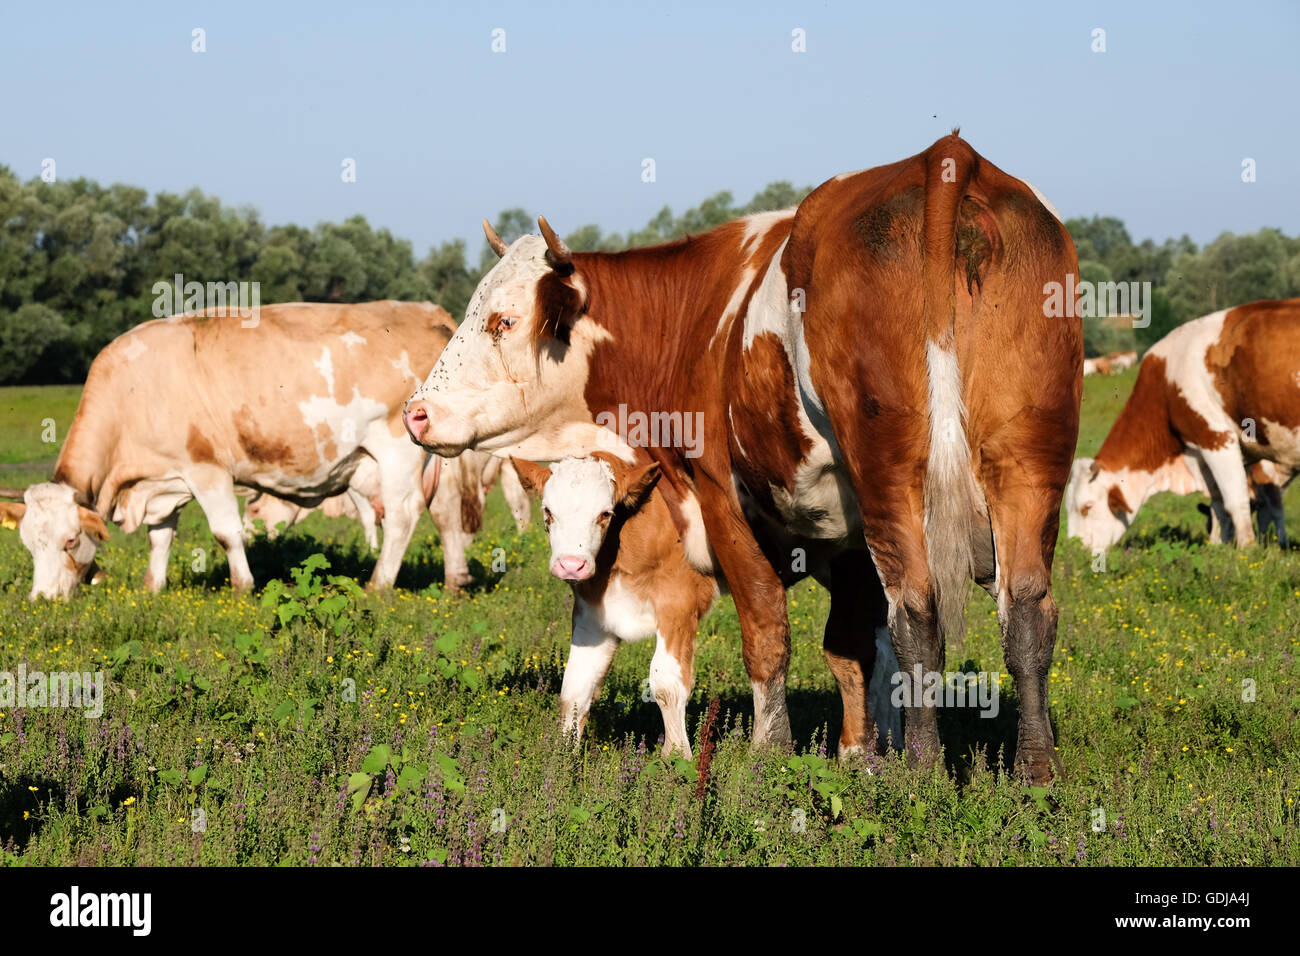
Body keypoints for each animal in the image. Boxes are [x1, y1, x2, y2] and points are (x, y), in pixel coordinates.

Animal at [5, 299, 473, 600]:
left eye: (69, 540)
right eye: (28, 543)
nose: (41, 599)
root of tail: (427, 311)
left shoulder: (206, 469)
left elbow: (226, 533)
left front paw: (242, 586)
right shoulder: (166, 477)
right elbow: (161, 537)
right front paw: (153, 587)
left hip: (396, 450)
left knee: (403, 515)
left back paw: (378, 585)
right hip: (440, 452)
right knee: (447, 511)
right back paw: (455, 581)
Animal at [511, 453, 902, 758]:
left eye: (605, 513)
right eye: (548, 512)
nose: (570, 565)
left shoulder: (678, 605)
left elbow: (665, 682)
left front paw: (675, 758)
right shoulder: (593, 615)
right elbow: (574, 689)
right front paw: (562, 761)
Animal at [1067, 299, 1300, 553]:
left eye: (1086, 507)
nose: (1073, 549)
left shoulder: (1217, 439)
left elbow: (1236, 501)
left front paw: (1246, 549)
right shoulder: (1201, 452)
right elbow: (1219, 505)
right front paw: (1218, 546)